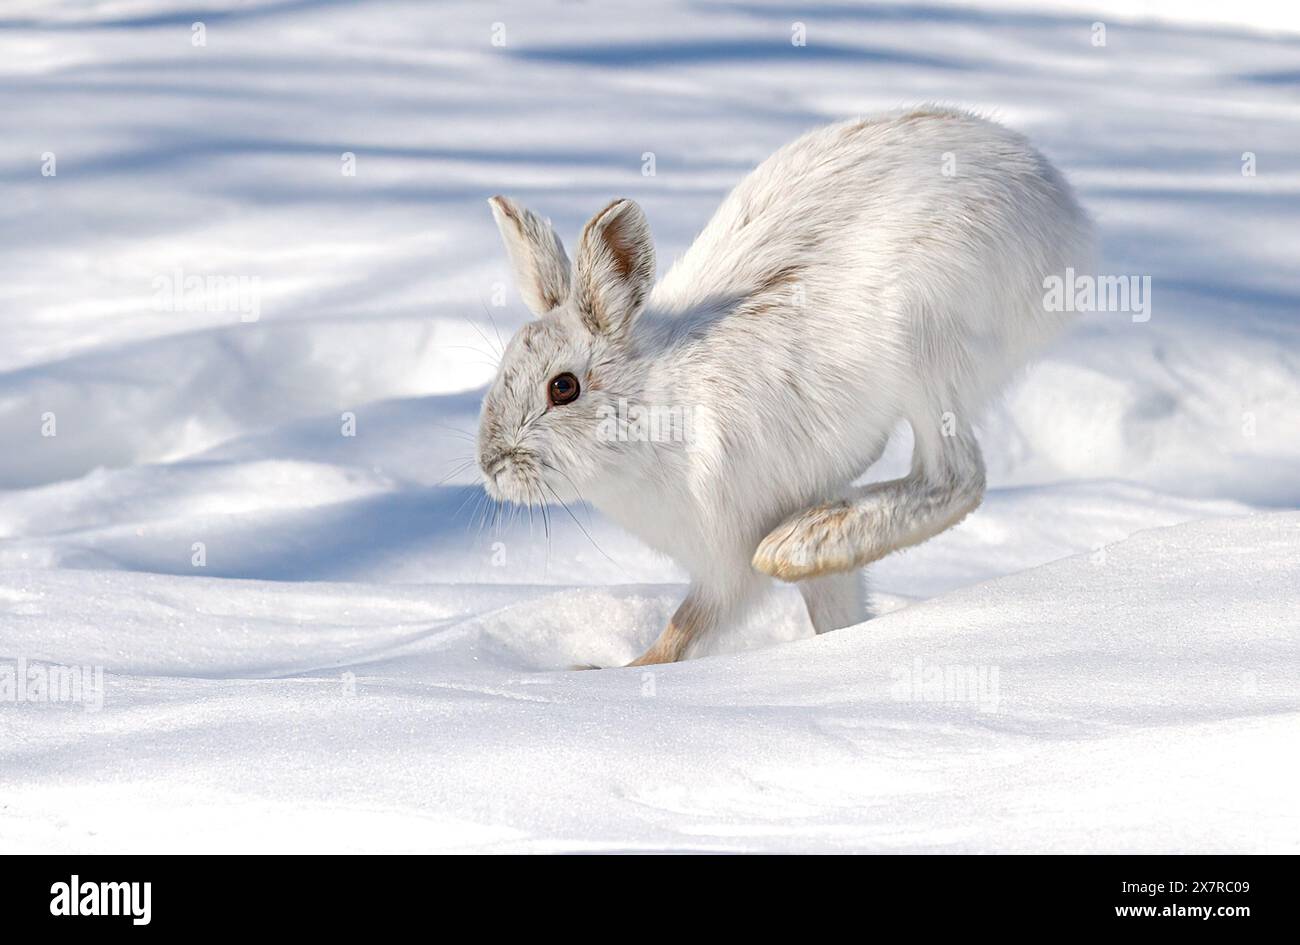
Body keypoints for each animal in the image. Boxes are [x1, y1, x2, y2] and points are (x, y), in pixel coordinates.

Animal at [477, 106, 1095, 666]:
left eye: (563, 388)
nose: (491, 465)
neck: (657, 400)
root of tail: (1061, 209)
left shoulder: (726, 553)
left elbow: (687, 628)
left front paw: (624, 672)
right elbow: (834, 604)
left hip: (925, 339)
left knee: (957, 476)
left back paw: (792, 546)